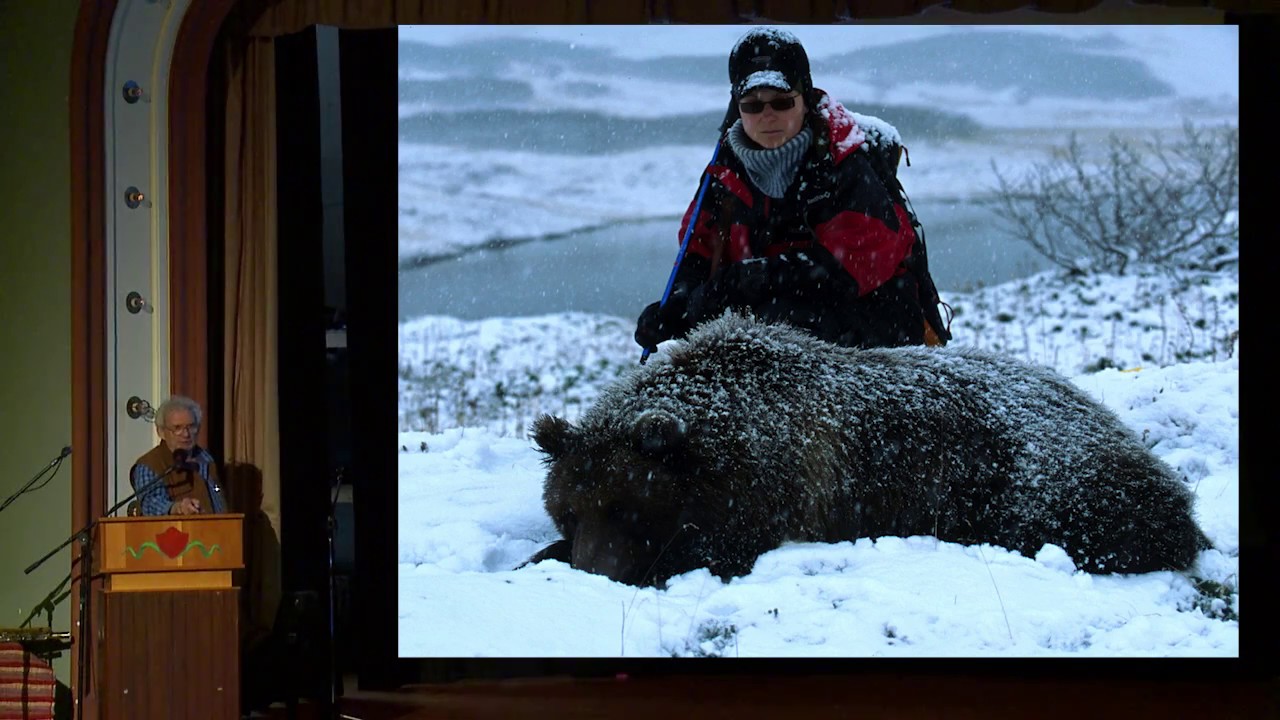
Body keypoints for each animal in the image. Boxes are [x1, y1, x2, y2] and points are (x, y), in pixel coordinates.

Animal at [525, 314, 1210, 587]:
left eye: (626, 507)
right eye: (570, 511)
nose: (592, 571)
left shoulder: (776, 493)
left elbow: (710, 550)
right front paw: (538, 557)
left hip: (1036, 475)